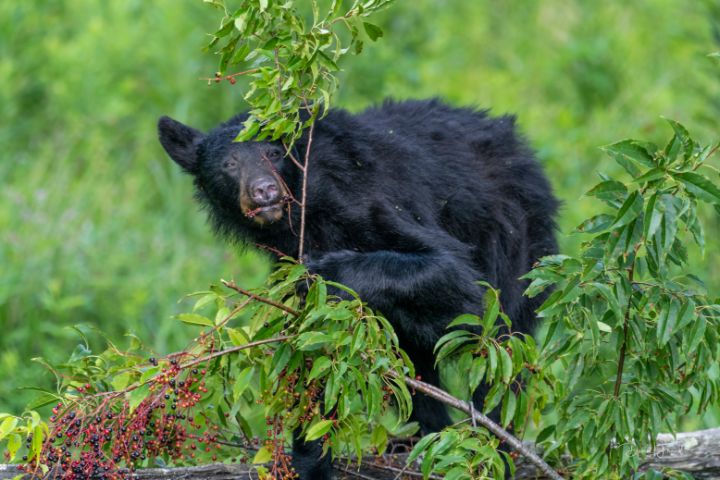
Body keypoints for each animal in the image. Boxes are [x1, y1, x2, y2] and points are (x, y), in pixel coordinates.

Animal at [158, 98, 559, 479]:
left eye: (273, 151)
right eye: (229, 163)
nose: (264, 192)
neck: (305, 209)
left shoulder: (366, 199)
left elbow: (452, 271)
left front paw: (323, 272)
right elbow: (319, 355)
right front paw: (309, 460)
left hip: (515, 238)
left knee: (500, 347)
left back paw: (494, 446)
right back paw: (421, 440)